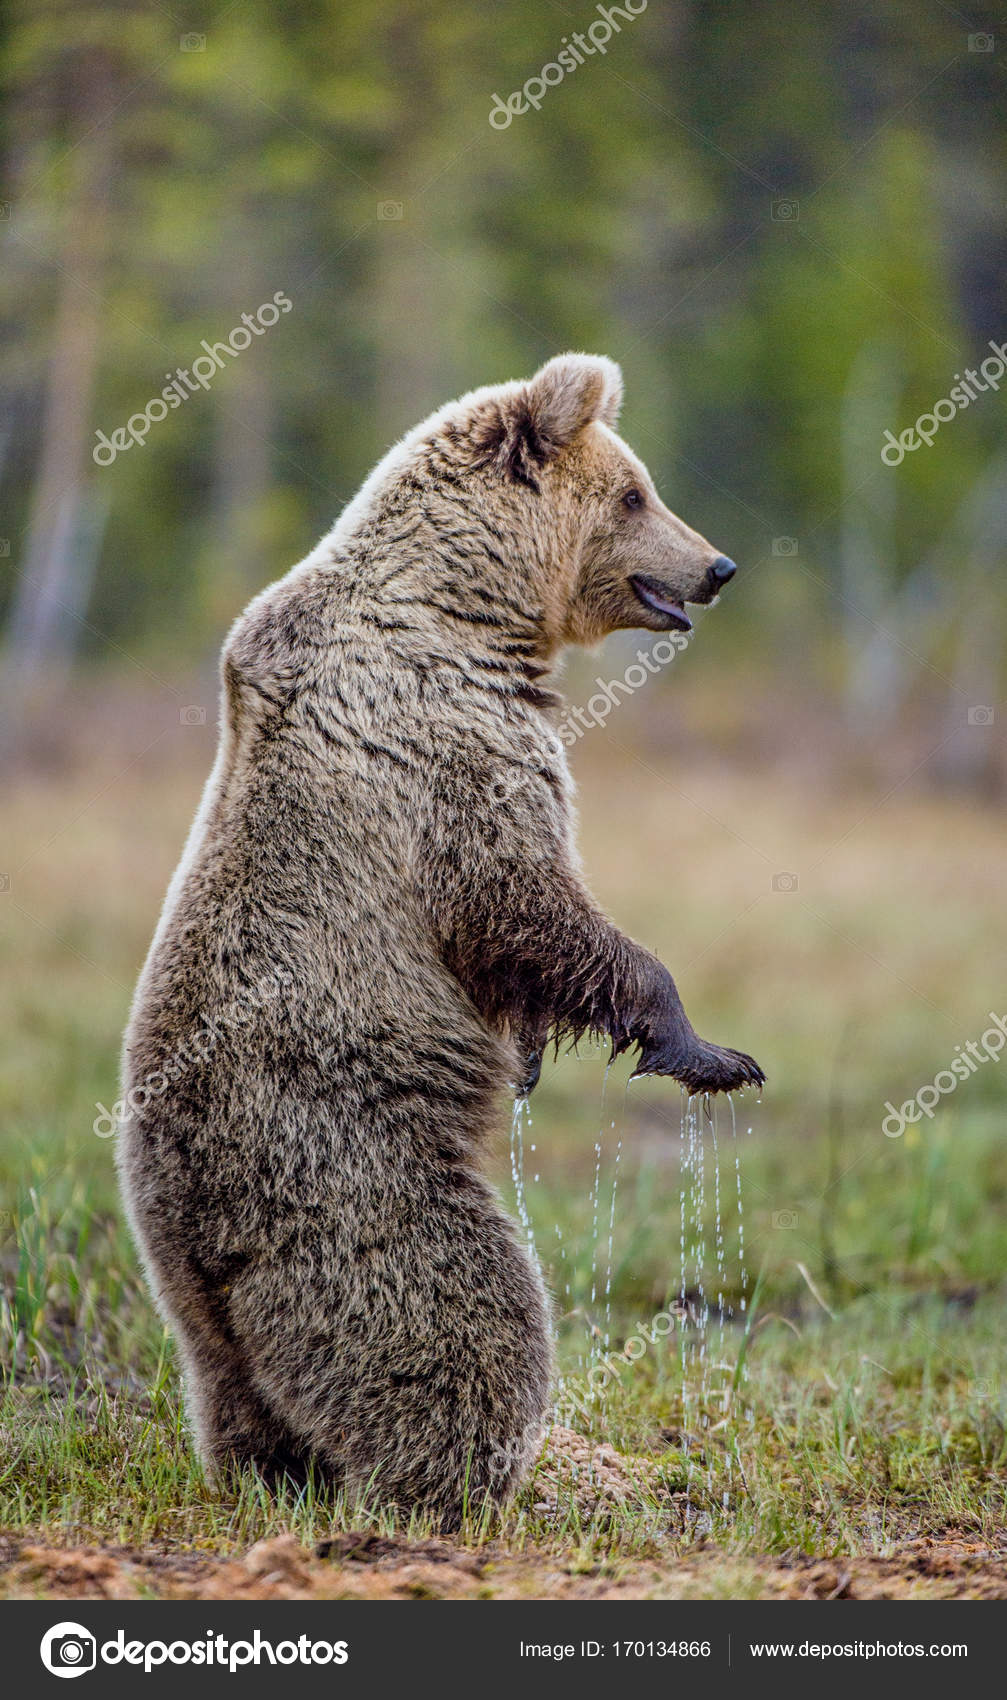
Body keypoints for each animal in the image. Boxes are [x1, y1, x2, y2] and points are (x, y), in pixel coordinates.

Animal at [117, 352, 764, 1526]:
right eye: (635, 494)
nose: (716, 567)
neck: (467, 603)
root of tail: (191, 1229)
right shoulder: (446, 736)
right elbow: (522, 897)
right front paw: (706, 1049)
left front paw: (540, 1052)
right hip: (347, 1168)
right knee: (459, 1316)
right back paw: (474, 1477)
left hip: (197, 1299)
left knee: (233, 1389)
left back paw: (277, 1472)